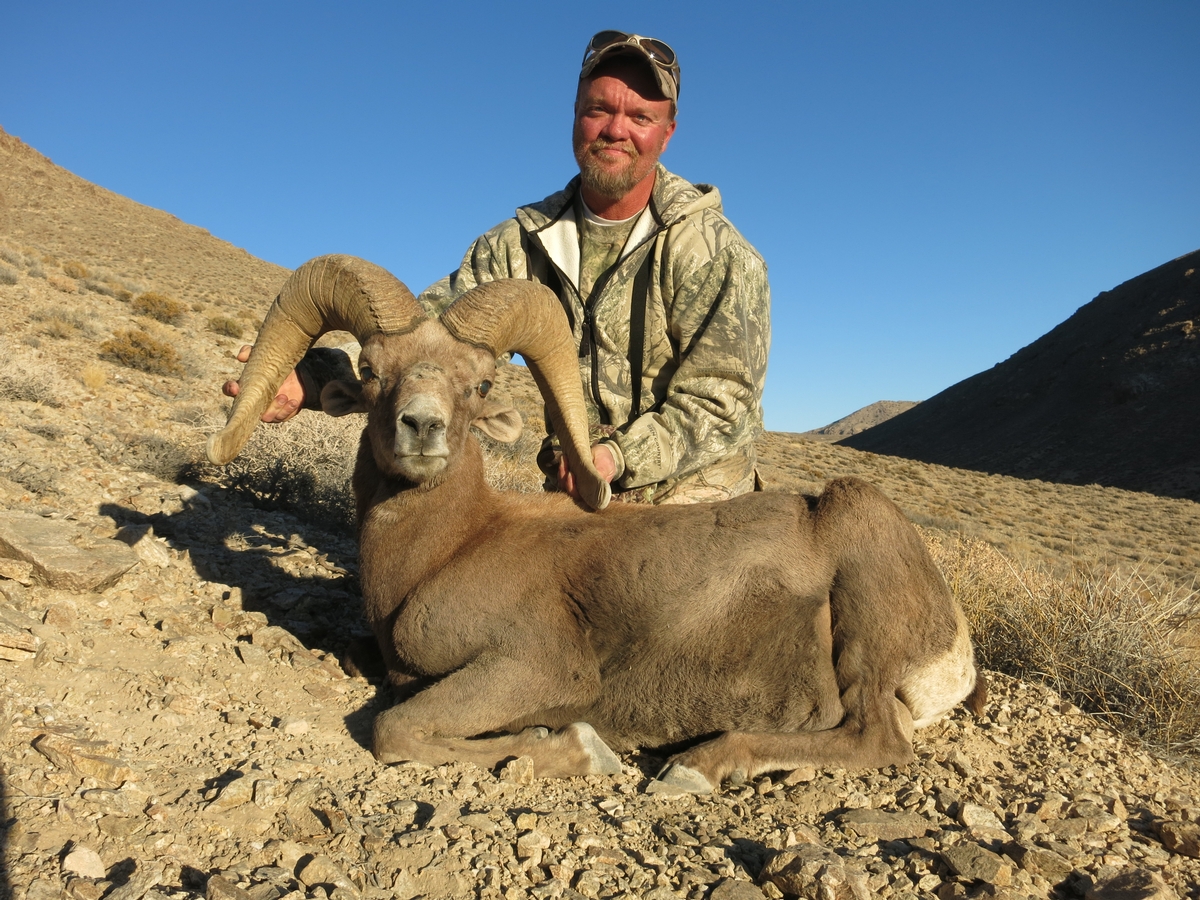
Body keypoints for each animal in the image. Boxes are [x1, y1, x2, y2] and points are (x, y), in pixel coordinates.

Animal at [208, 255, 985, 792]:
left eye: (480, 383)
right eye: (370, 370)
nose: (420, 427)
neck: (444, 550)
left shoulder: (528, 668)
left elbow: (394, 729)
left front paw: (579, 751)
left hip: (863, 633)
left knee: (876, 741)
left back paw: (696, 766)